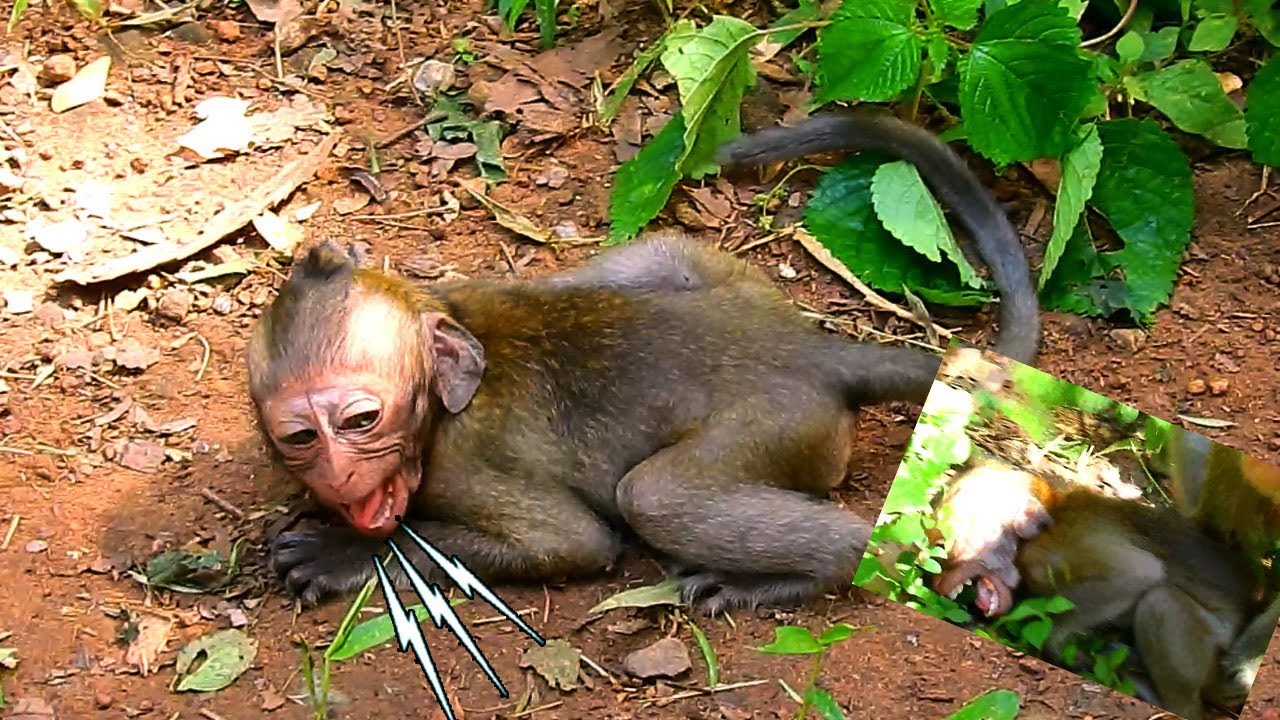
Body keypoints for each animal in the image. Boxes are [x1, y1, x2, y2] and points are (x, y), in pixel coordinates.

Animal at [248, 111, 1041, 616]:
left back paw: (785, 578)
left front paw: (343, 550)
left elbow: (572, 541)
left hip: (785, 423)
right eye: (300, 437)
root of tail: (810, 347)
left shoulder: (462, 462)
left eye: (361, 420)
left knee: (654, 497)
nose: (336, 476)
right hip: (716, 279)